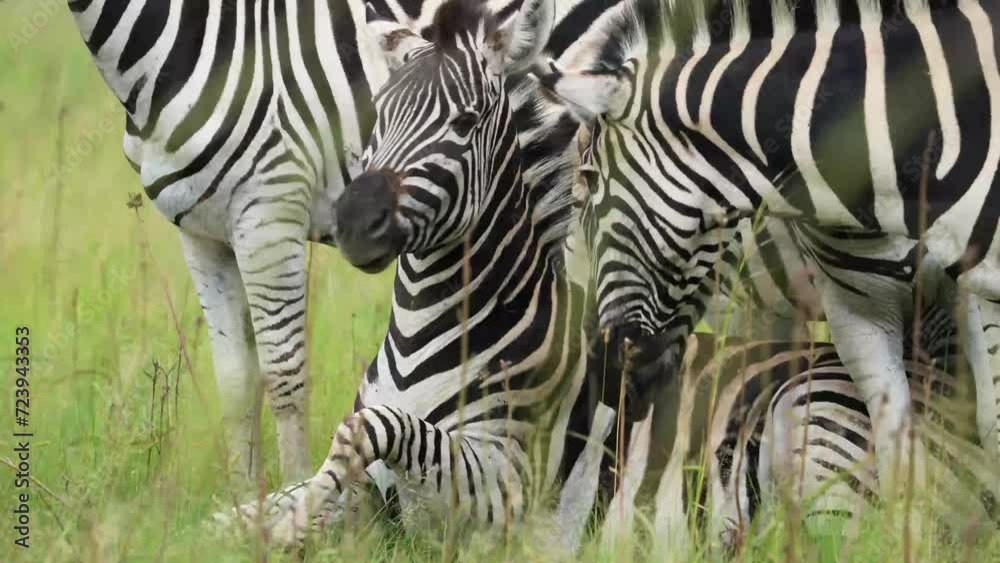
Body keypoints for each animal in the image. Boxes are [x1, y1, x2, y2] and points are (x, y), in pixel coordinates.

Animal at [65, 0, 620, 487]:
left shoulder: (271, 213)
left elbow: (285, 379)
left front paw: (290, 488)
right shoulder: (202, 234)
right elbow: (237, 384)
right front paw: (248, 501)